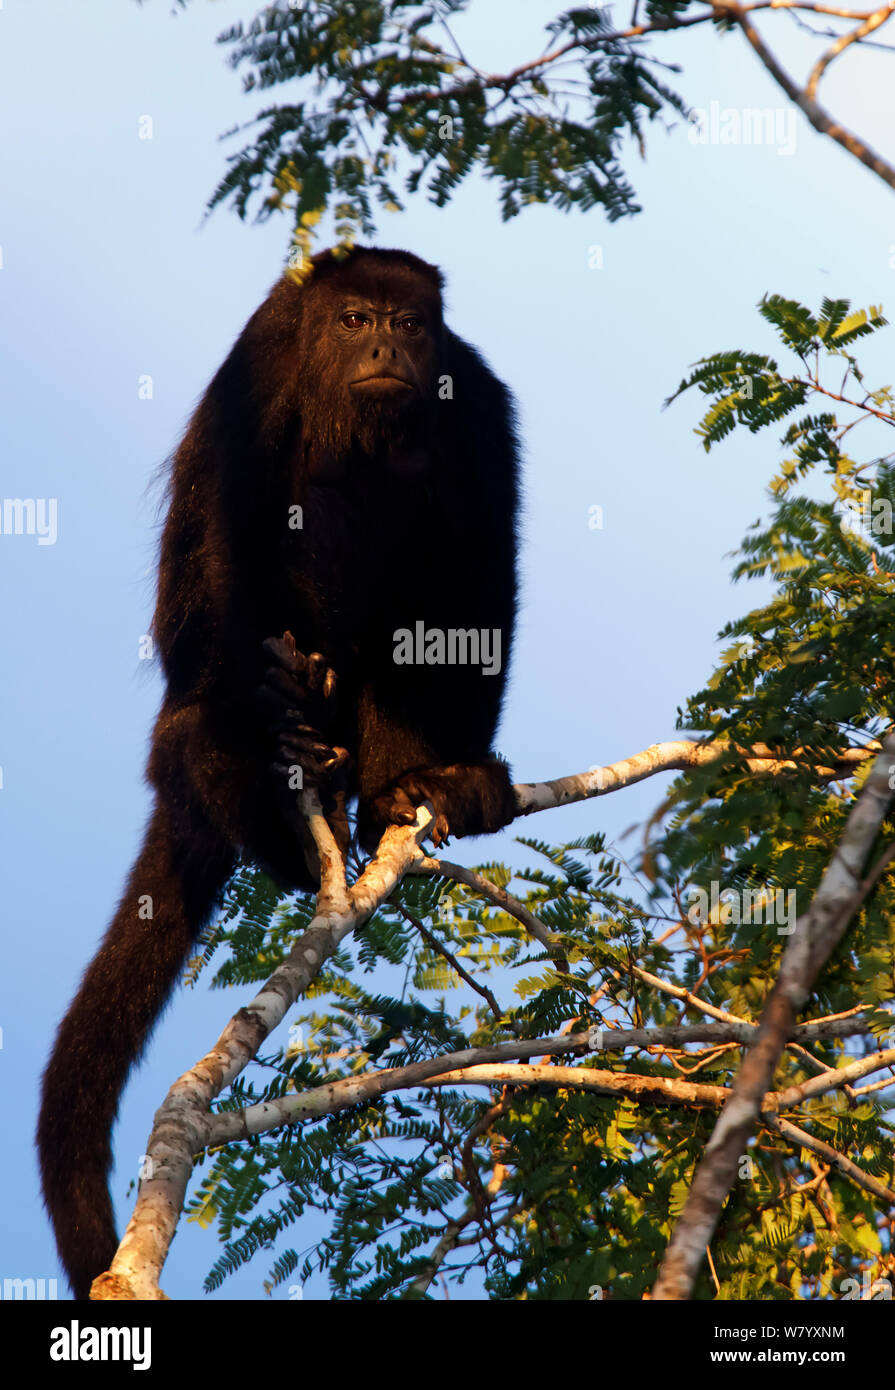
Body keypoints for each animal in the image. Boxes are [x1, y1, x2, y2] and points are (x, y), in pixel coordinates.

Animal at [37, 246, 520, 1299]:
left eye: (409, 324)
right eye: (351, 319)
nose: (384, 347)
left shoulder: (474, 397)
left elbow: (478, 564)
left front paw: (452, 778)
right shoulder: (258, 366)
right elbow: (240, 515)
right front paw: (273, 709)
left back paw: (398, 783)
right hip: (194, 704)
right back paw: (253, 759)